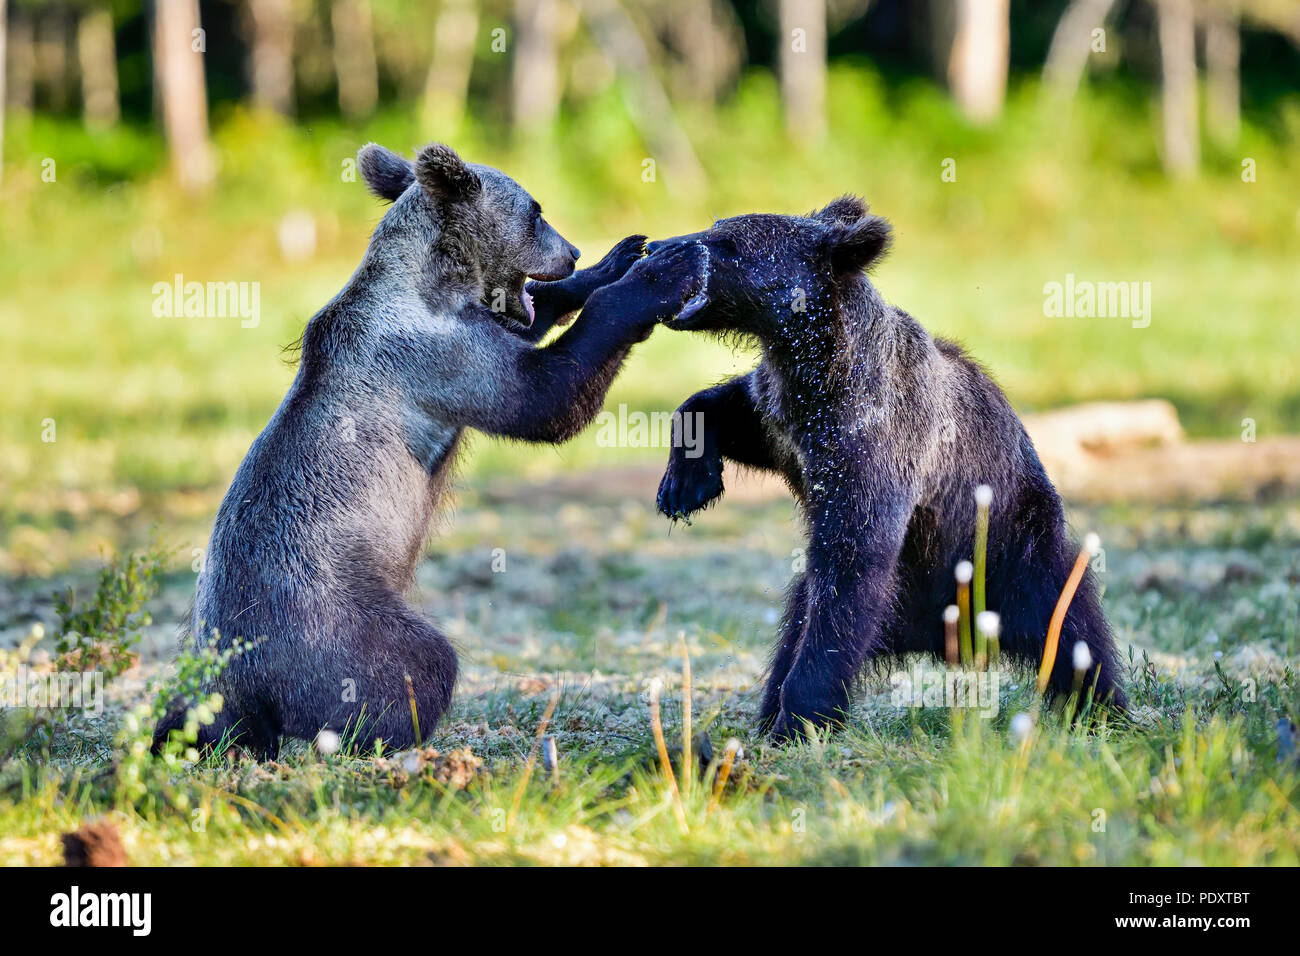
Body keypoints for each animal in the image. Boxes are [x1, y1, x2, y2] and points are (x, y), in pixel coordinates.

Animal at [152, 142, 706, 758]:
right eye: (536, 211)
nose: (572, 250)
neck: (434, 285)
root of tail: (235, 685)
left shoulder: (474, 331)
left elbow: (532, 323)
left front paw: (619, 256)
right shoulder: (435, 357)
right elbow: (544, 396)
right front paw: (662, 271)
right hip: (329, 618)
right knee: (414, 663)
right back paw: (392, 736)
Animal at [647, 197, 1128, 741]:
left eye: (728, 242)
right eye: (715, 225)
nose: (658, 247)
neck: (813, 363)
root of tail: (944, 636)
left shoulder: (874, 439)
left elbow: (855, 553)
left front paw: (802, 713)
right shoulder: (781, 417)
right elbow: (720, 407)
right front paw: (685, 485)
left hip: (1011, 547)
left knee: (1070, 629)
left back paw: (1103, 708)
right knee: (798, 620)